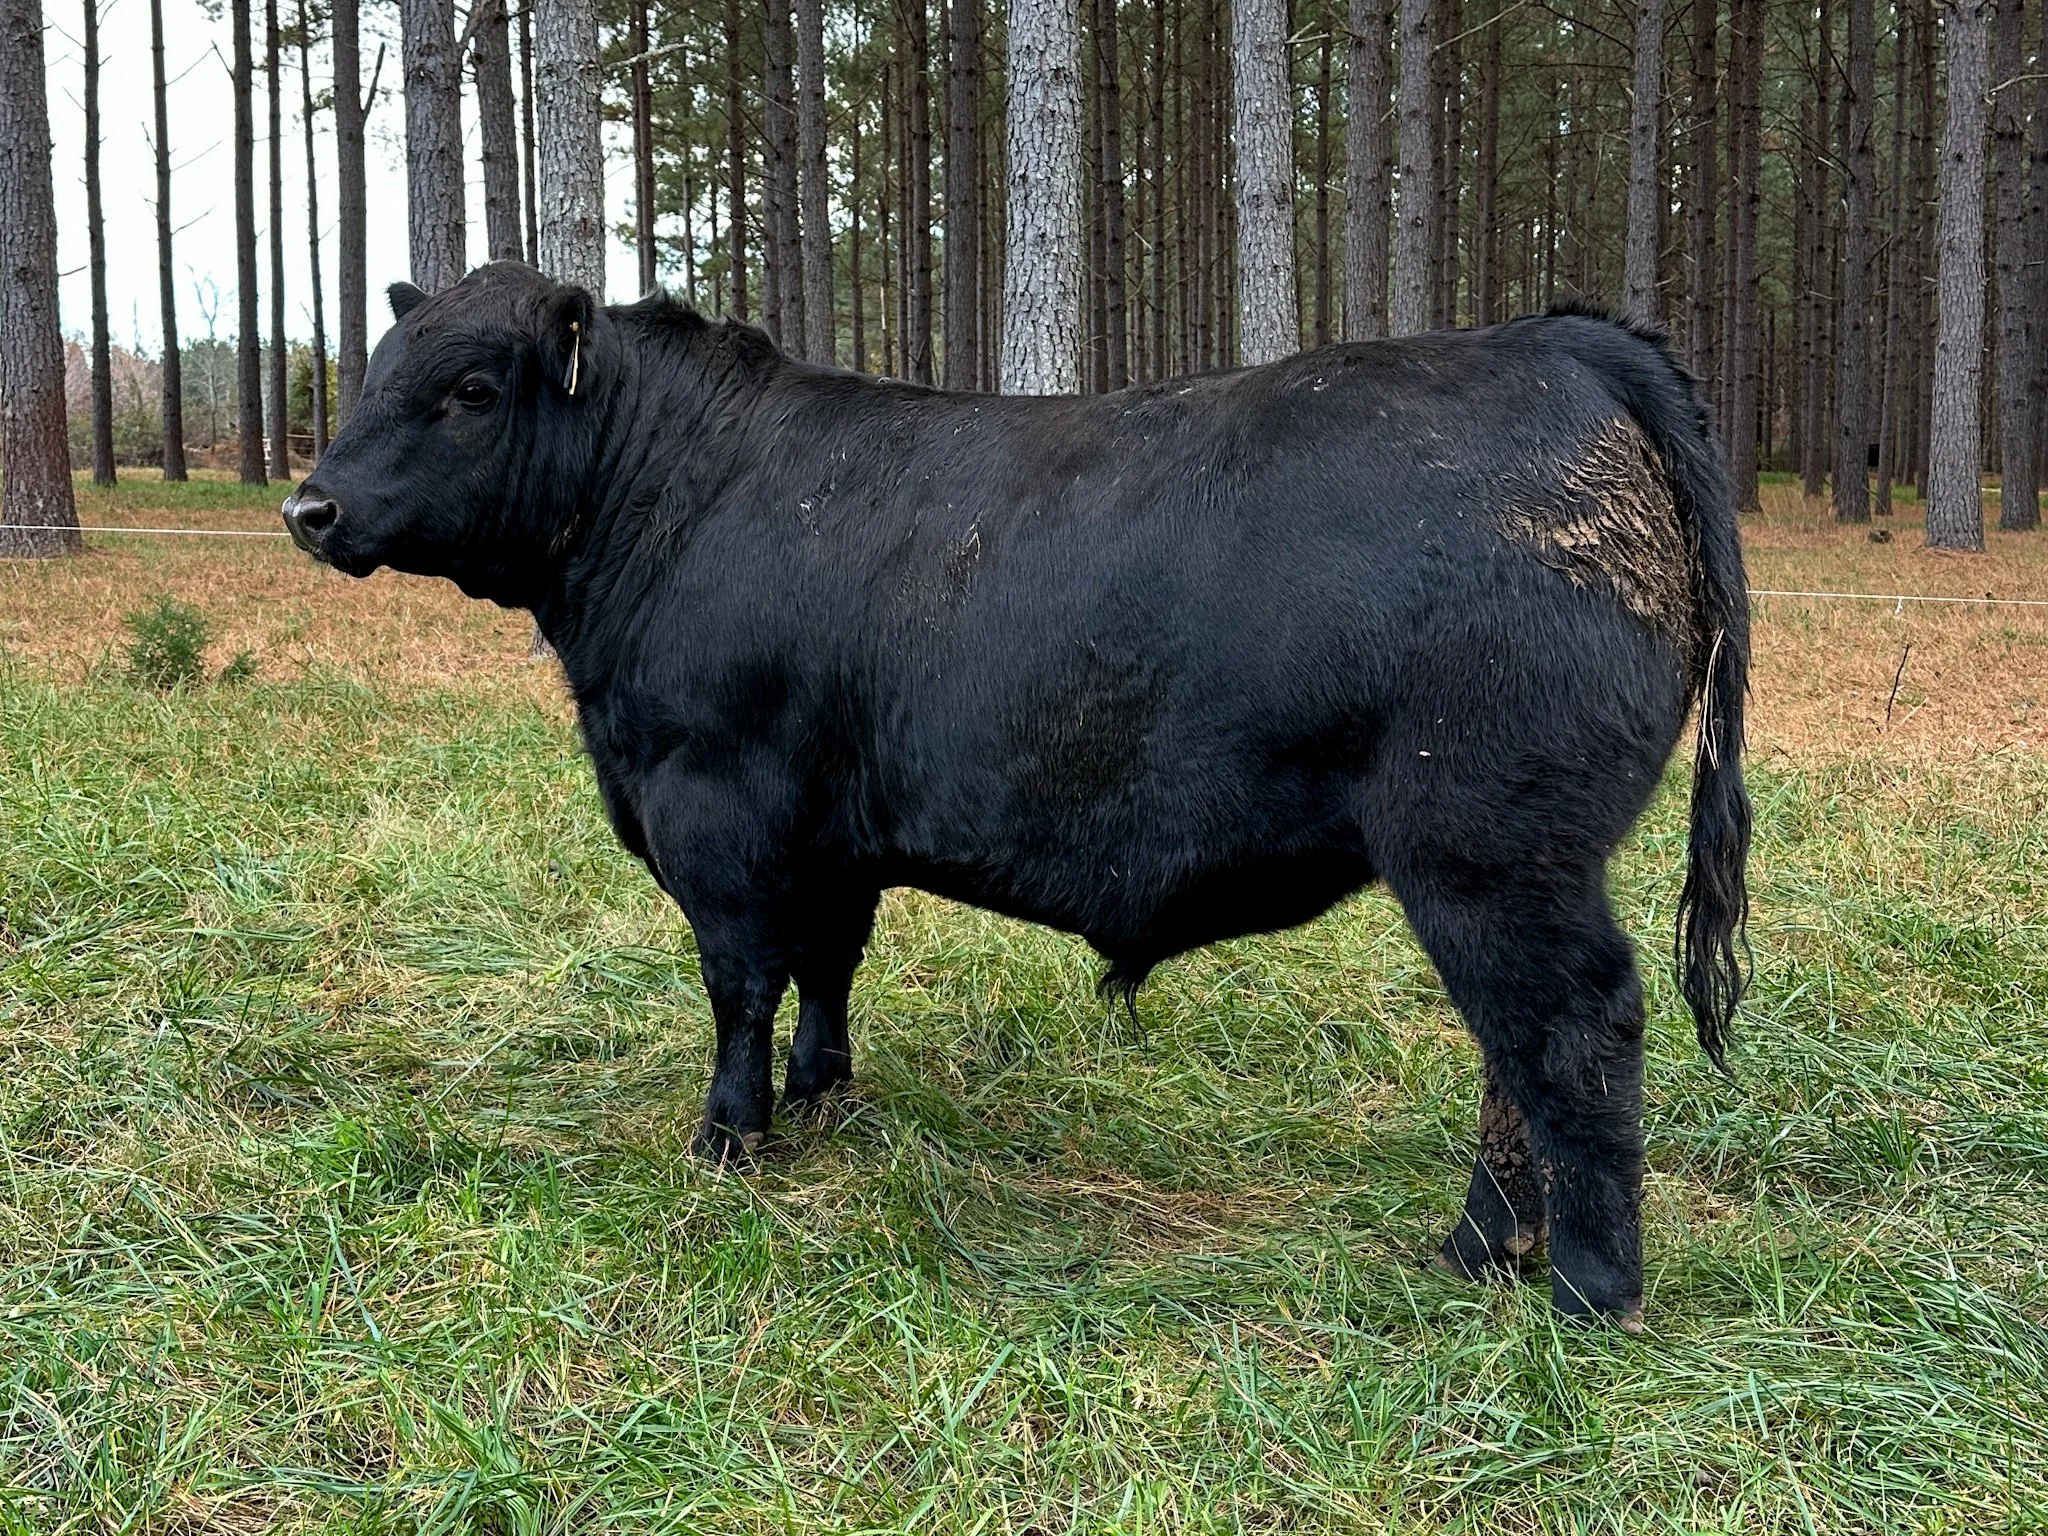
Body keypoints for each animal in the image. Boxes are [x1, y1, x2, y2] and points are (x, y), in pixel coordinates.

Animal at [284, 262, 1750, 1328]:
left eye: (471, 389)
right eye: (373, 375)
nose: (309, 508)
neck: (672, 500)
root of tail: (1558, 342)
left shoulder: (720, 809)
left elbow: (740, 984)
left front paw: (728, 1140)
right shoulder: (831, 833)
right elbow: (828, 966)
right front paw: (822, 1101)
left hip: (1487, 843)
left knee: (1568, 1031)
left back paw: (1582, 1290)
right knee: (1514, 1051)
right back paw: (1481, 1252)